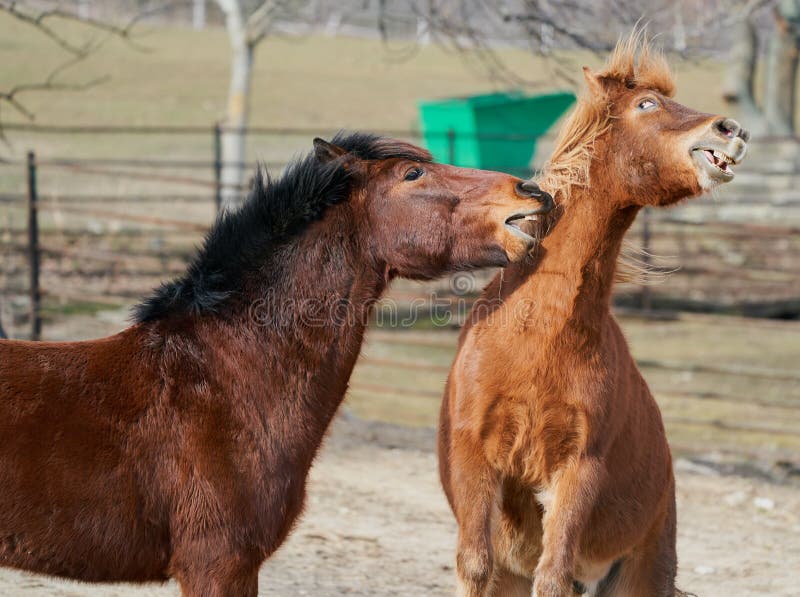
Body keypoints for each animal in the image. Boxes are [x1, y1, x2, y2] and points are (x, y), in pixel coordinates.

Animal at [438, 34, 749, 597]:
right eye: (646, 104)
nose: (732, 130)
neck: (534, 336)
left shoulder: (580, 468)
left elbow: (554, 575)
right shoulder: (475, 455)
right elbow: (474, 563)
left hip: (642, 572)